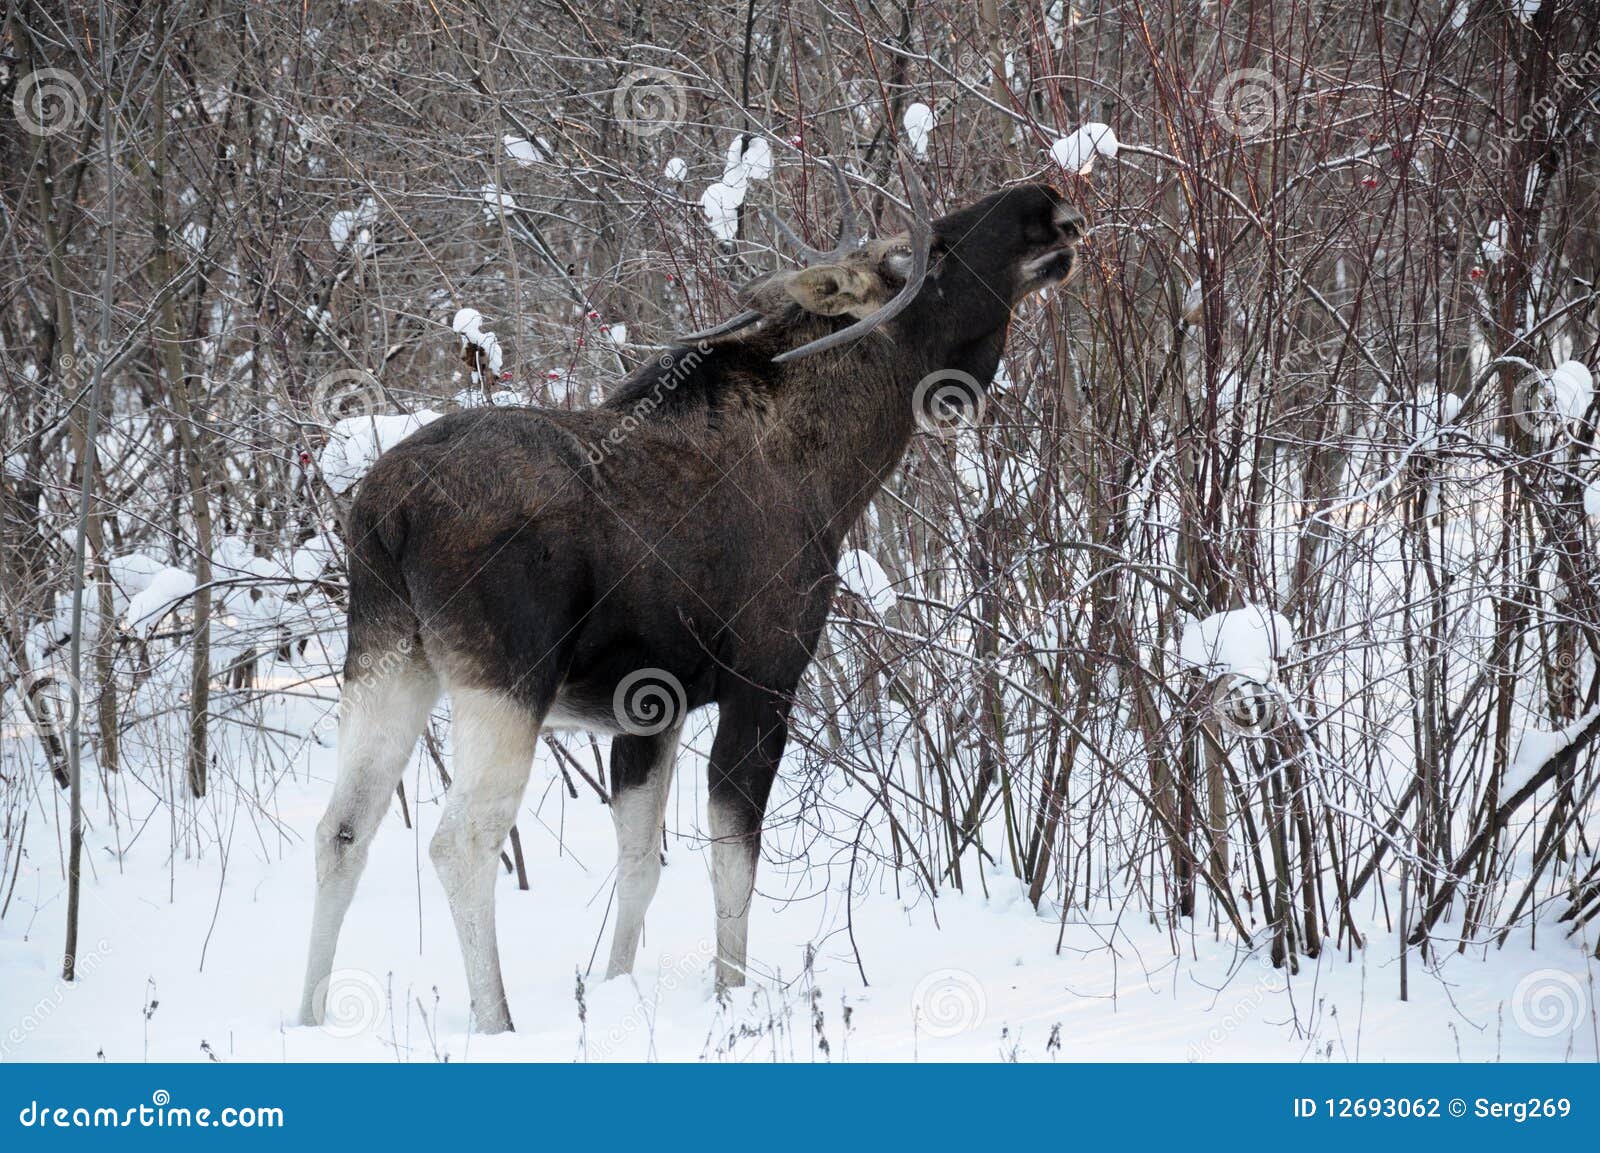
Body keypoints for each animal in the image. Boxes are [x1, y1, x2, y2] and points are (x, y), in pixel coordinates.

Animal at [298, 166, 1084, 1033]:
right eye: (933, 253)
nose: (1045, 202)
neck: (841, 472)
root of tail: (386, 513)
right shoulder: (764, 679)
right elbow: (732, 859)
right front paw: (731, 996)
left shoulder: (651, 709)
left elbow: (641, 864)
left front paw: (613, 987)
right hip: (503, 681)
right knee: (461, 840)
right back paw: (496, 1020)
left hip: (387, 657)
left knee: (342, 829)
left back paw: (306, 1018)